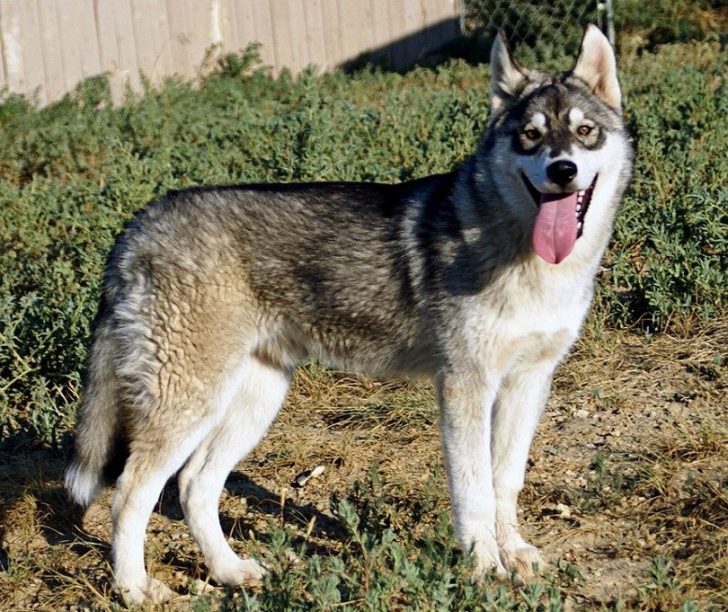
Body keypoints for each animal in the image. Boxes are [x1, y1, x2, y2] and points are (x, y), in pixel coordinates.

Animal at [65, 25, 632, 604]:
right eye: (530, 136)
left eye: (585, 131)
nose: (562, 170)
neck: (525, 258)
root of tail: (138, 225)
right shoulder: (464, 385)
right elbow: (474, 490)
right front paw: (483, 569)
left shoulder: (527, 383)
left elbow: (505, 482)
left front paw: (513, 553)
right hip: (189, 404)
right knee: (130, 493)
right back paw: (135, 589)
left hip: (254, 401)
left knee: (194, 485)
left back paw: (229, 570)